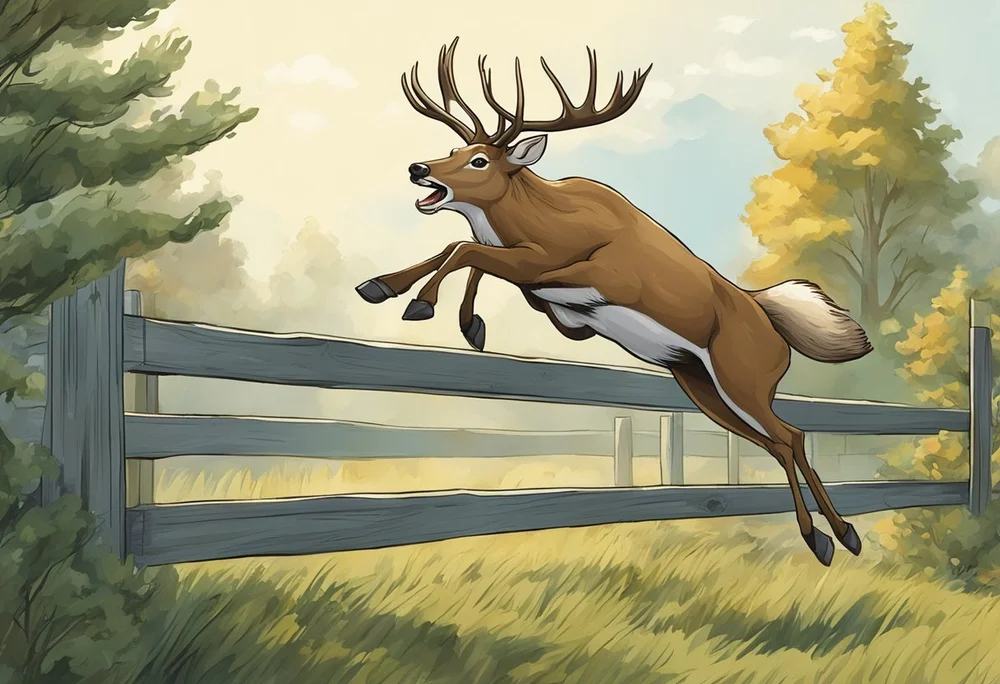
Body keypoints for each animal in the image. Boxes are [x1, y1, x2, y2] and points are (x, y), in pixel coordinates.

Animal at [355, 37, 874, 567]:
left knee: (791, 435)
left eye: (480, 160)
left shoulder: (603, 277)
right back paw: (831, 536)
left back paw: (835, 535)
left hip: (742, 377)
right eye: (454, 149)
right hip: (699, 383)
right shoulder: (565, 312)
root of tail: (771, 324)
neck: (554, 223)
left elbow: (468, 249)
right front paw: (399, 293)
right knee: (774, 443)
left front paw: (423, 303)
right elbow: (472, 254)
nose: (418, 168)